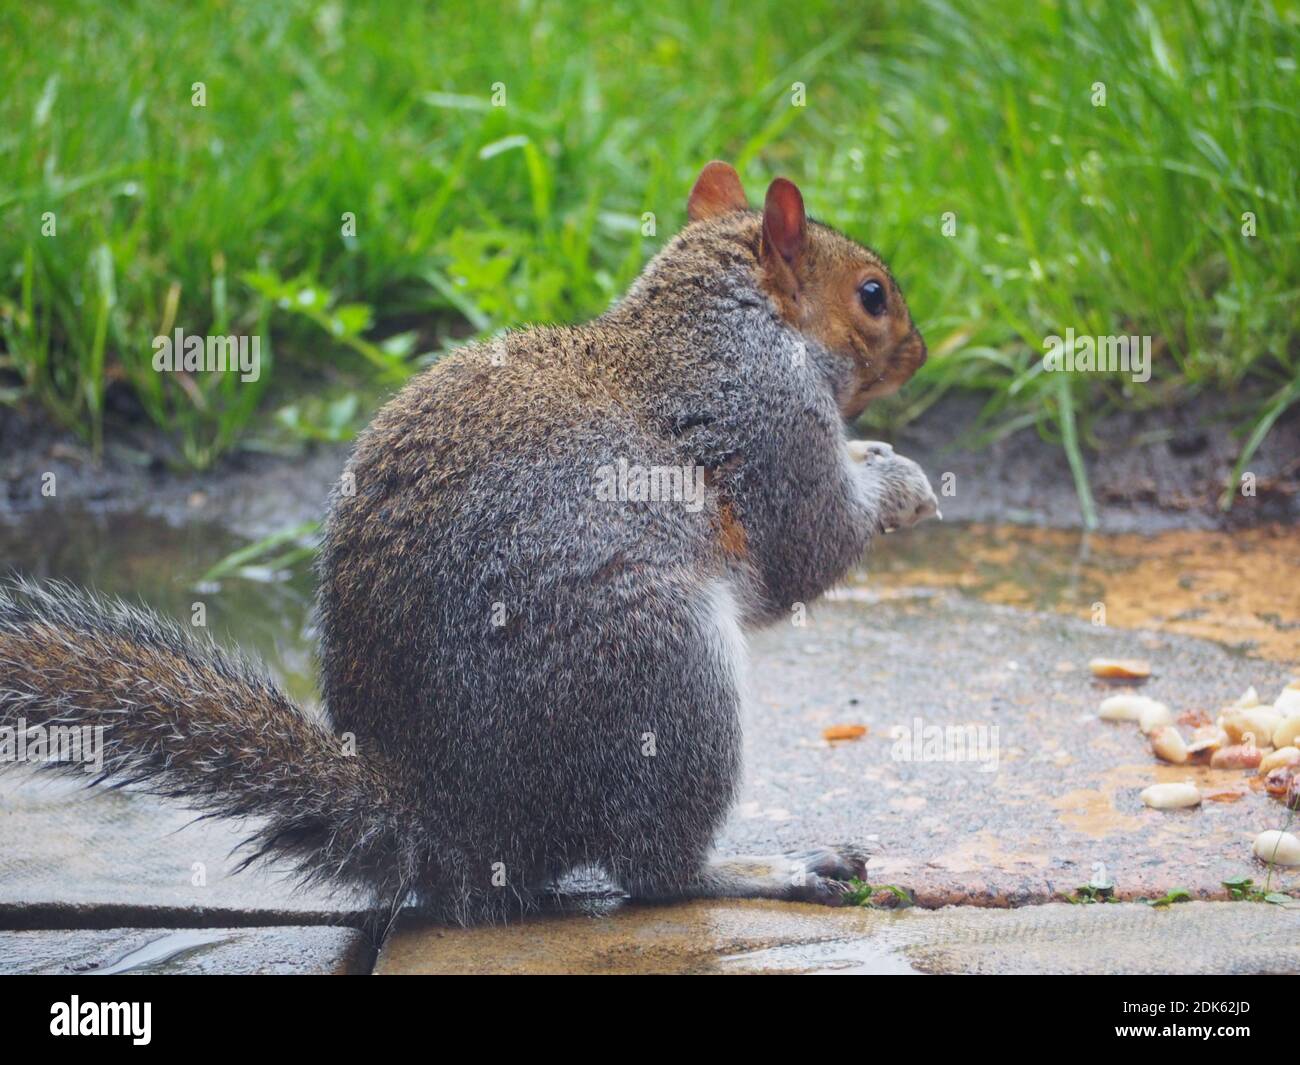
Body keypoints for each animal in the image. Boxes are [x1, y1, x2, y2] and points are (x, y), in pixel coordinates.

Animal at [0, 162, 938, 927]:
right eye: (873, 294)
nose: (924, 352)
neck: (723, 320)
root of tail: (444, 822)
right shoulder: (766, 422)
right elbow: (808, 547)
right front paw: (899, 485)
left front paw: (877, 455)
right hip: (661, 669)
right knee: (654, 870)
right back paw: (771, 867)